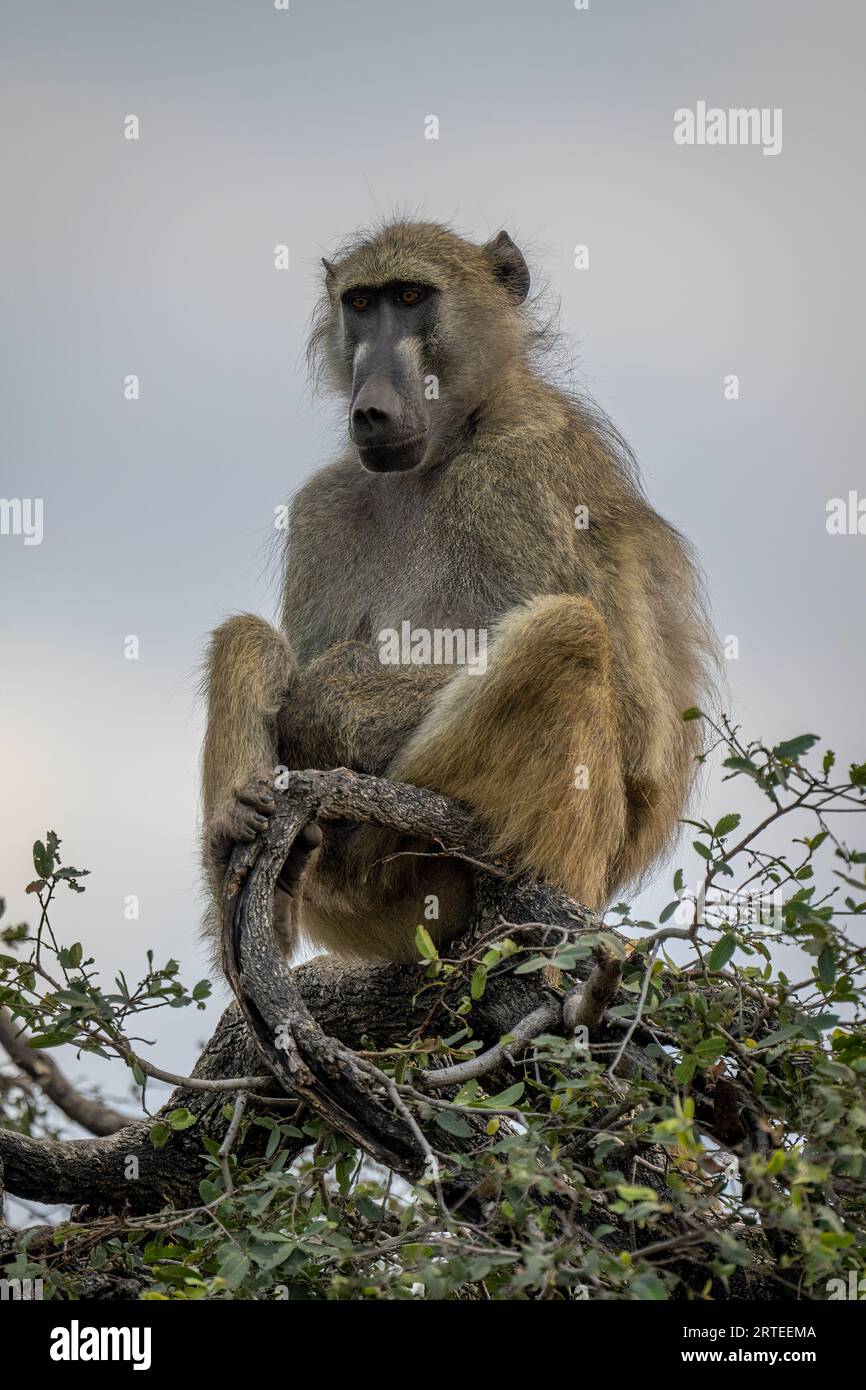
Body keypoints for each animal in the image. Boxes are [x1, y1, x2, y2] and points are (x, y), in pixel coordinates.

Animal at [201, 219, 715, 967]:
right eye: (361, 303)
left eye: (413, 296)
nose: (372, 409)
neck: (449, 446)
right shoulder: (327, 502)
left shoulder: (522, 476)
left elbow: (637, 731)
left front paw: (328, 699)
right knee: (245, 636)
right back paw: (255, 851)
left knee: (567, 632)